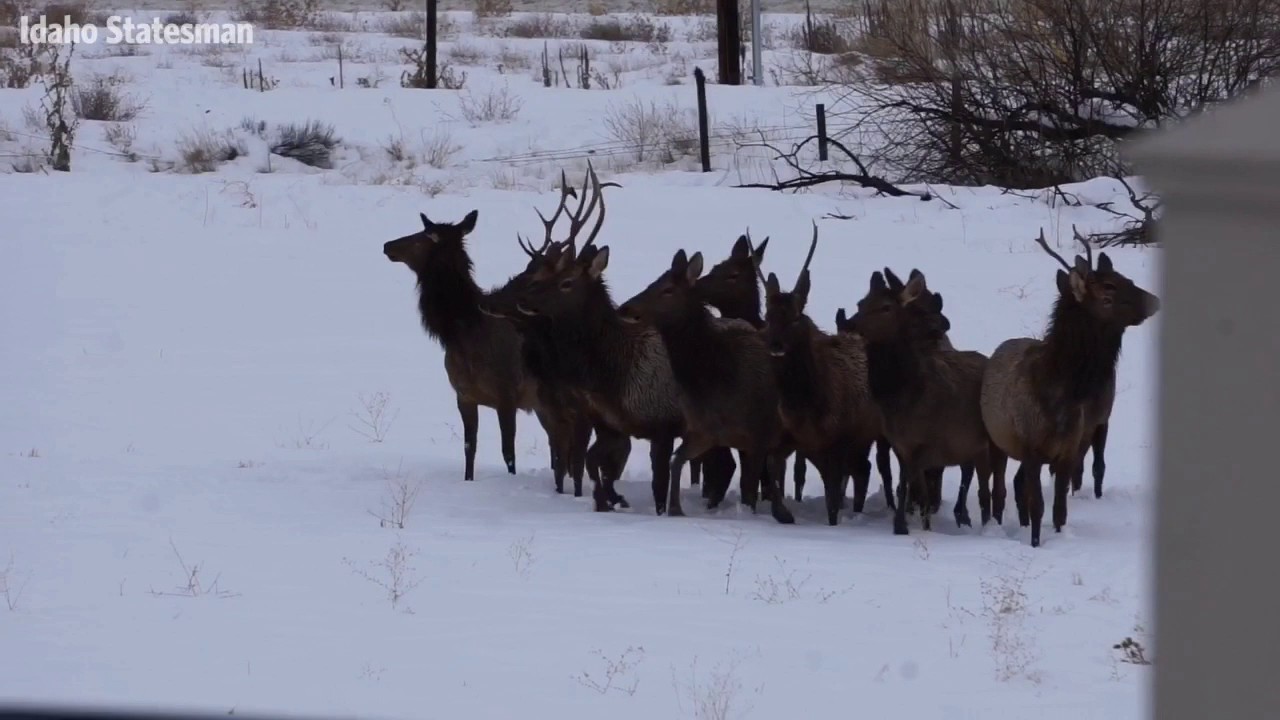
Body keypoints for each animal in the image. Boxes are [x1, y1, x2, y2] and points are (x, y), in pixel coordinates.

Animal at [383, 209, 557, 484]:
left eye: (424, 235)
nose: (388, 245)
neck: (463, 335)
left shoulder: (507, 394)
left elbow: (508, 451)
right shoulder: (464, 395)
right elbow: (469, 447)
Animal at [617, 248, 796, 525]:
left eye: (668, 289)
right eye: (653, 283)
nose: (625, 308)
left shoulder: (759, 432)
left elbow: (749, 488)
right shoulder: (706, 431)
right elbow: (677, 461)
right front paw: (675, 509)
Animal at [754, 225, 884, 526]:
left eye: (795, 316)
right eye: (768, 316)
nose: (776, 345)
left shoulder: (837, 444)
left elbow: (832, 503)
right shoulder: (791, 440)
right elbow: (772, 468)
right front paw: (784, 514)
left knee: (867, 470)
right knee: (863, 470)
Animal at [843, 268, 1002, 535]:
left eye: (886, 307)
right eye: (860, 303)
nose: (850, 324)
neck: (903, 397)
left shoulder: (928, 444)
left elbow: (916, 488)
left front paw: (909, 526)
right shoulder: (901, 444)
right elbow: (910, 487)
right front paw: (905, 525)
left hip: (988, 441)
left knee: (984, 488)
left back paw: (982, 526)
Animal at [982, 228, 1160, 547]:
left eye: (1125, 277)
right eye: (1108, 289)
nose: (1154, 300)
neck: (1062, 395)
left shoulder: (1067, 448)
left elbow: (1059, 509)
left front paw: (1058, 535)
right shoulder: (1031, 446)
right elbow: (1038, 506)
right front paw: (1036, 543)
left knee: (1016, 487)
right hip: (997, 441)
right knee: (999, 490)